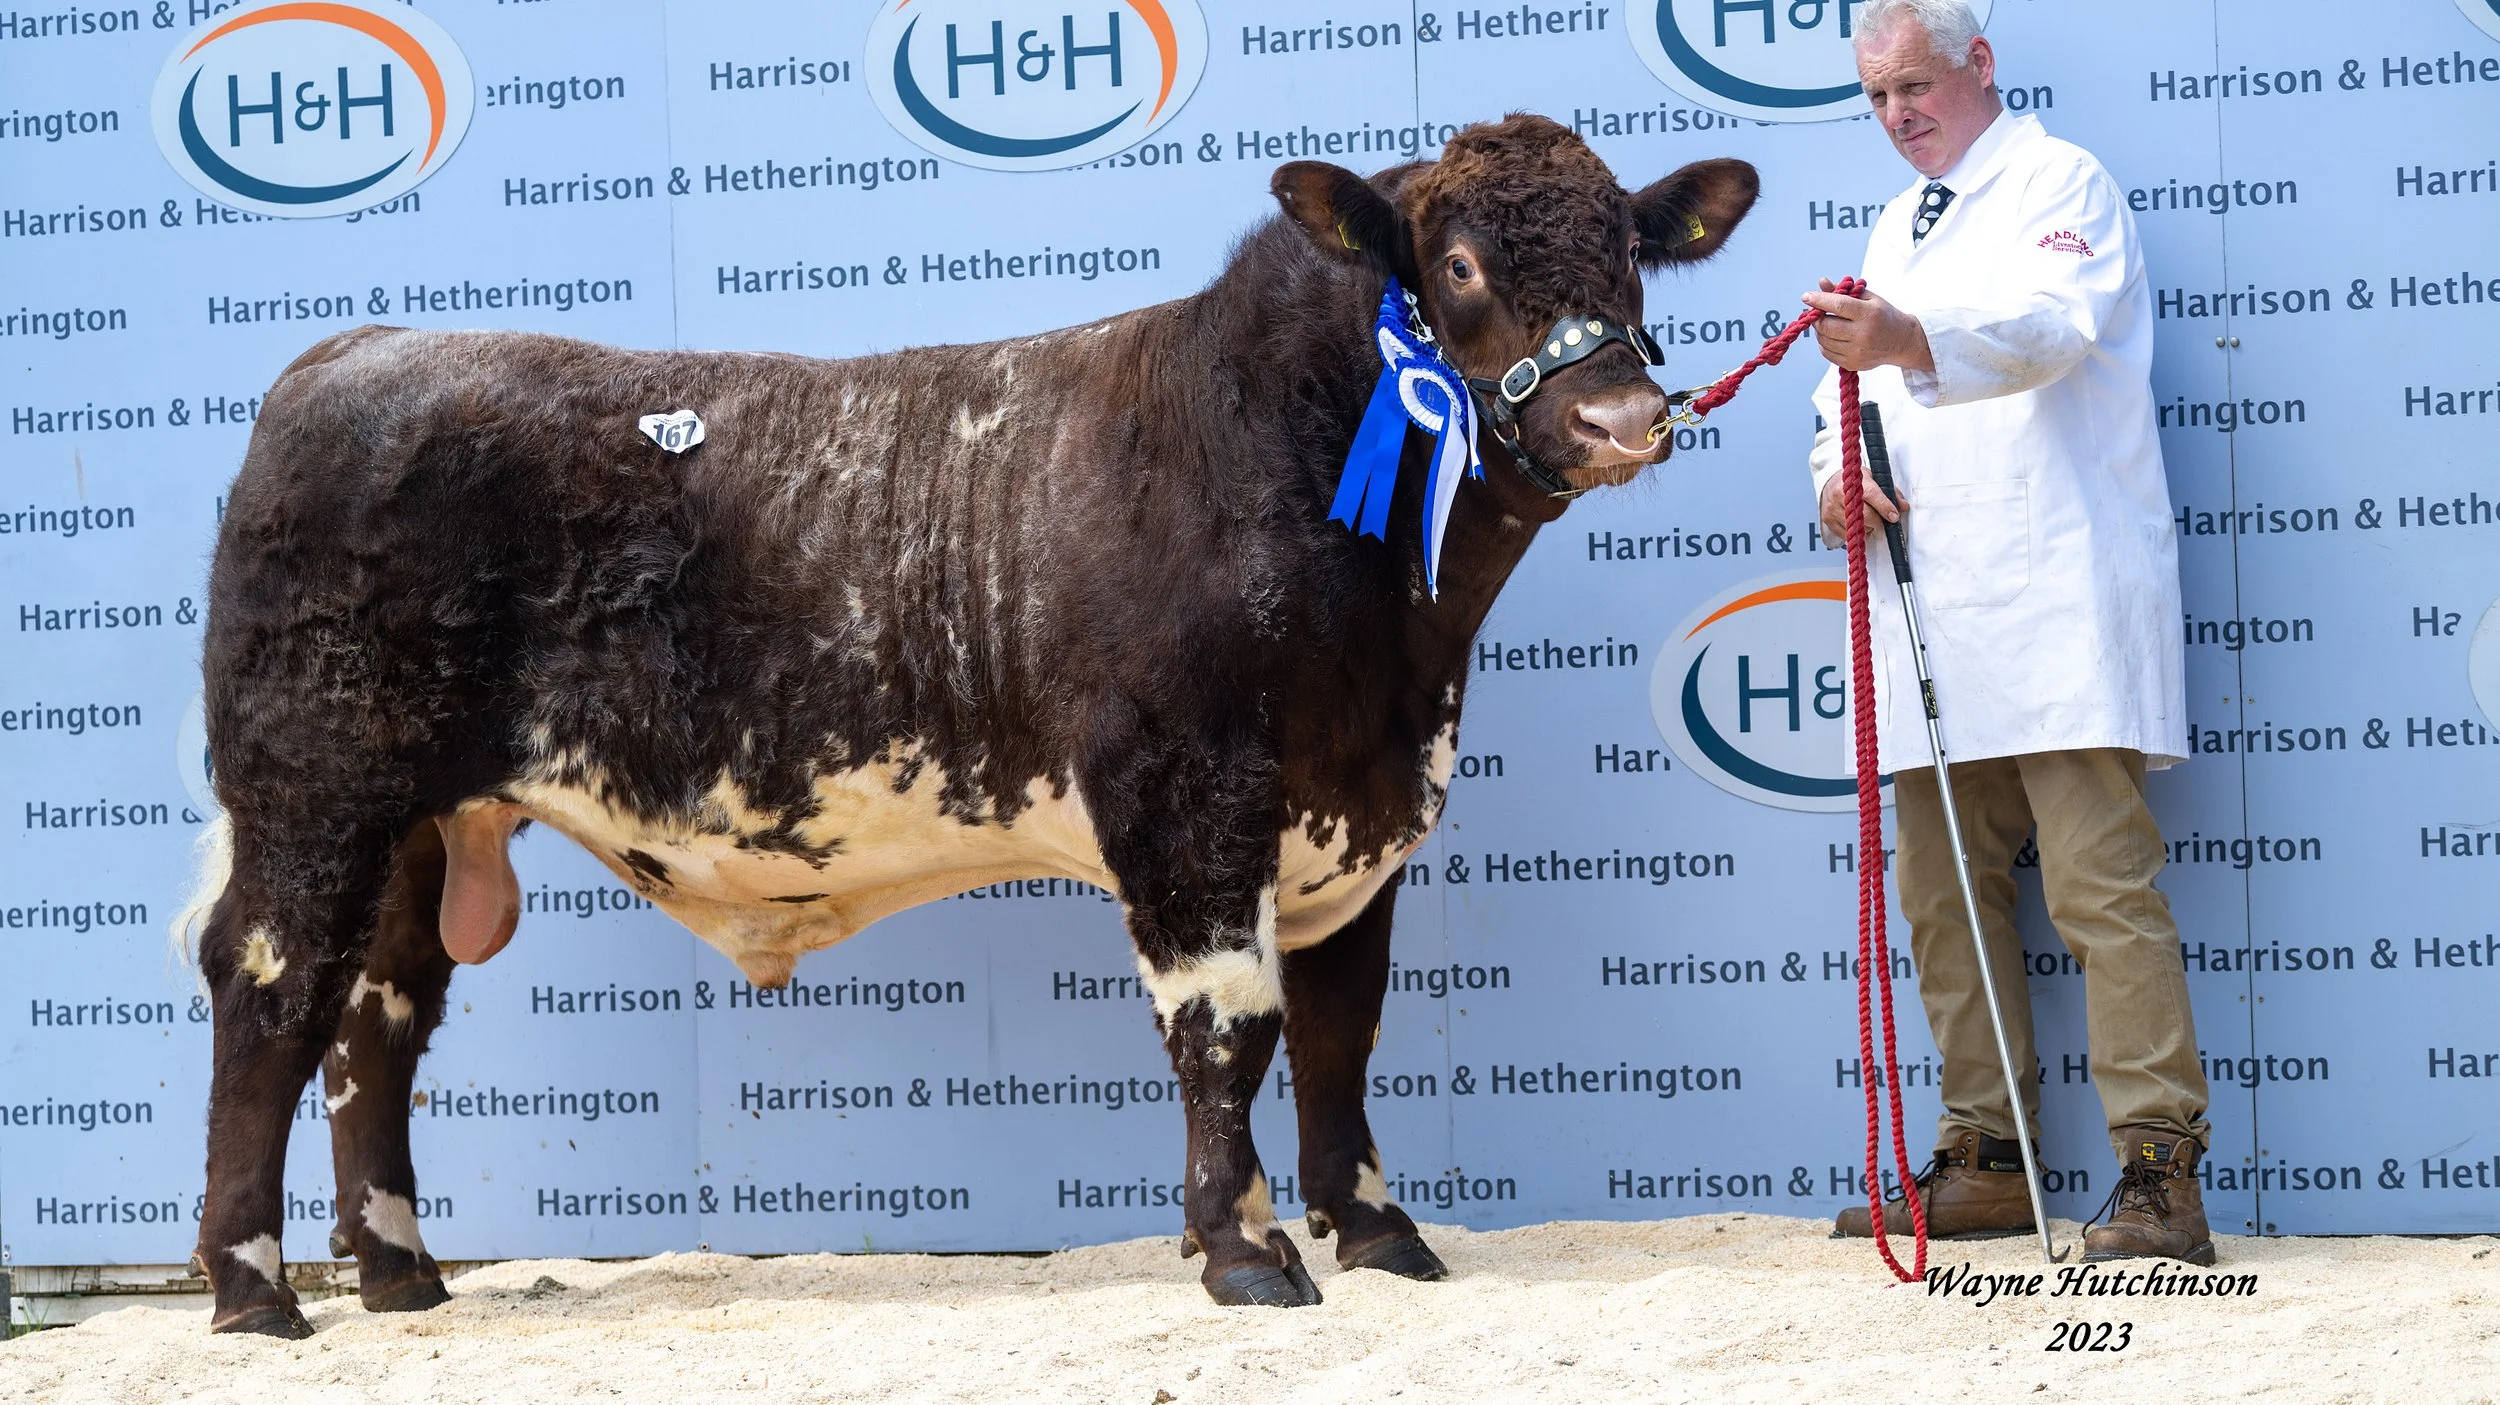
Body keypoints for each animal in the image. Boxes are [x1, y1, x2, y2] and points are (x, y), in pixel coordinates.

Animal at [177, 114, 1758, 1335]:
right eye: (1462, 264)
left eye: (1629, 248)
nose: (1623, 417)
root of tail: (354, 353)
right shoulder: (1190, 799)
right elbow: (1228, 1025)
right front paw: (1246, 1252)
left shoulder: (1354, 818)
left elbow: (1339, 1029)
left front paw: (1376, 1233)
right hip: (313, 792)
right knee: (270, 987)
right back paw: (255, 1286)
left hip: (417, 822)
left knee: (377, 1017)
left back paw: (400, 1271)